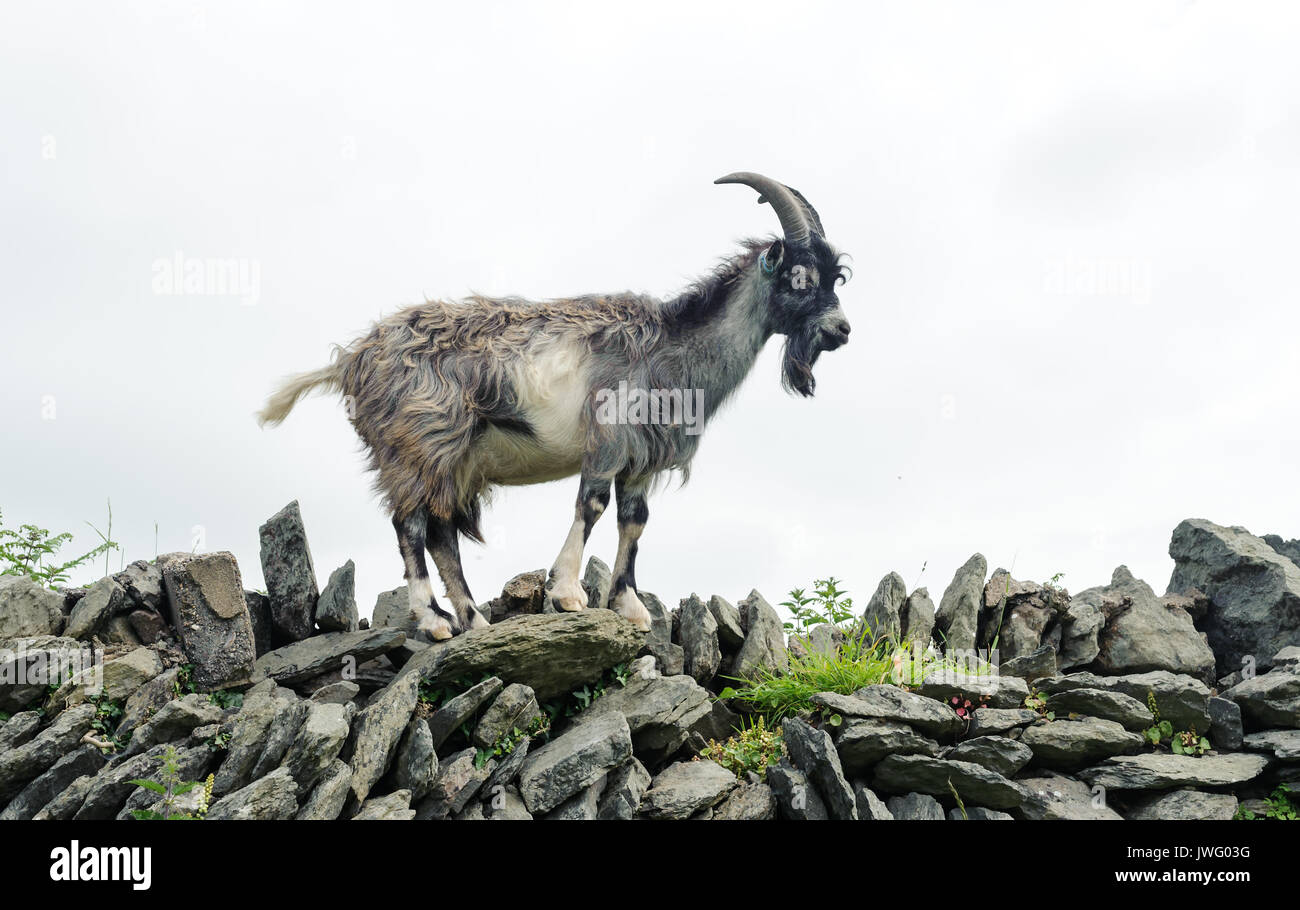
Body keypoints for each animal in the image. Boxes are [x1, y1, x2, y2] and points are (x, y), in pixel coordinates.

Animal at [258, 172, 851, 641]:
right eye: (801, 277)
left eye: (839, 277)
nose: (841, 329)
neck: (670, 346)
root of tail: (353, 359)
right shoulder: (608, 439)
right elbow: (591, 505)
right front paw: (567, 593)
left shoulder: (641, 459)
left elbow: (634, 521)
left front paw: (630, 605)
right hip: (418, 443)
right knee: (410, 523)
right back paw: (433, 620)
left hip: (451, 458)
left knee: (442, 532)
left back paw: (474, 619)